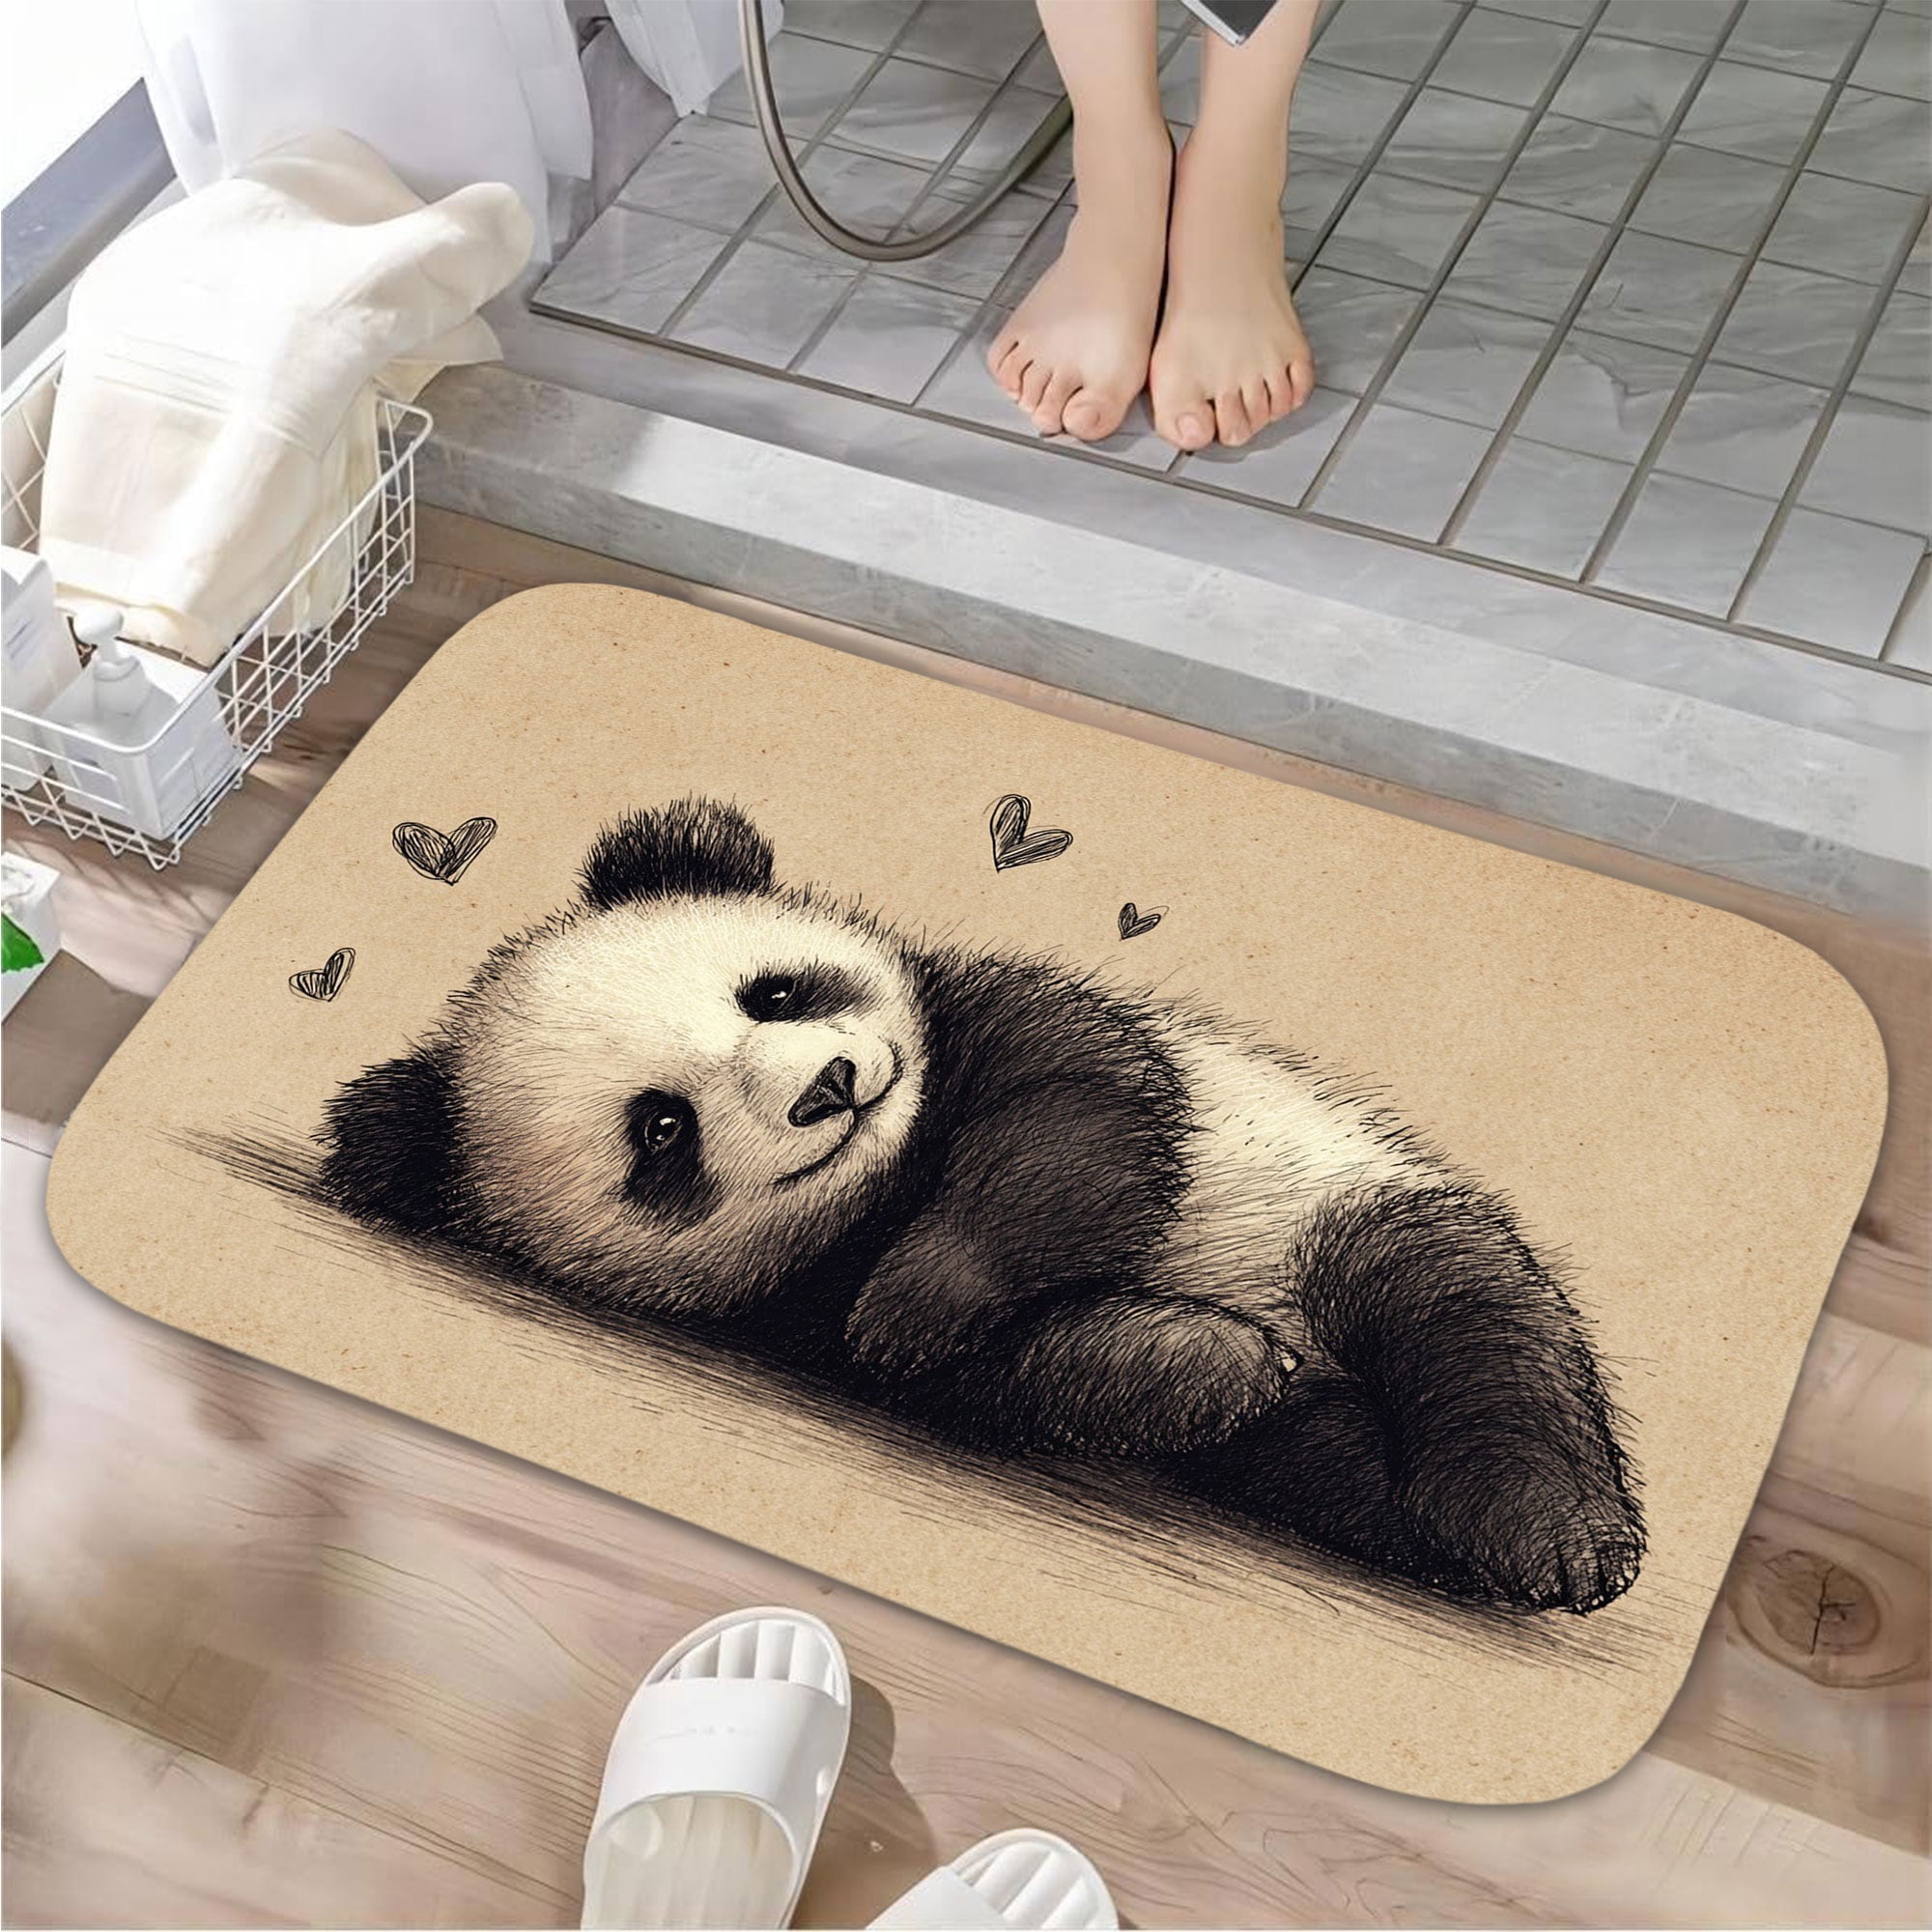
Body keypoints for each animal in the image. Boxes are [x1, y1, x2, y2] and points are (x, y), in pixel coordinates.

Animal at [318, 796, 1644, 1614]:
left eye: (774, 990)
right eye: (660, 1128)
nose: (829, 1087)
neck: (896, 1172)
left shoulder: (998, 1023)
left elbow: (1082, 1118)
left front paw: (922, 1292)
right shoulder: (794, 1309)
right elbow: (1015, 1373)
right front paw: (1207, 1360)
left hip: (1335, 1198)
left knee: (1468, 1326)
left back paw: (1552, 1534)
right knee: (1325, 1456)